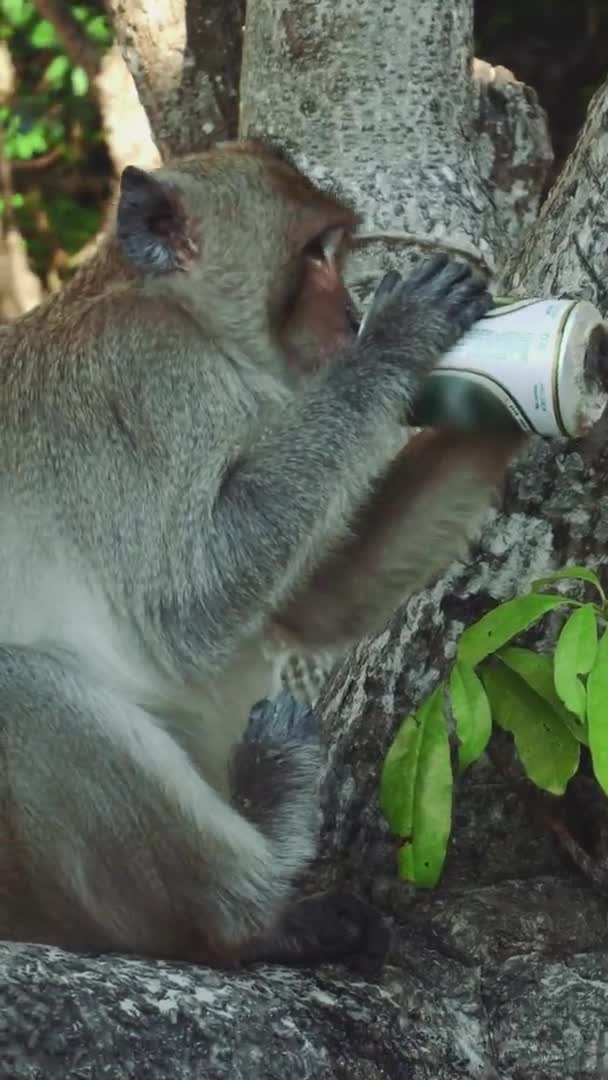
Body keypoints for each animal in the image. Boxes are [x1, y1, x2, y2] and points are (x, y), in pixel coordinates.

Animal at [0, 139, 525, 971]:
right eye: (314, 254)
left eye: (337, 250)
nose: (351, 317)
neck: (185, 318)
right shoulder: (152, 379)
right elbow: (187, 608)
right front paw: (399, 337)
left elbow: (316, 601)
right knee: (20, 688)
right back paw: (253, 904)